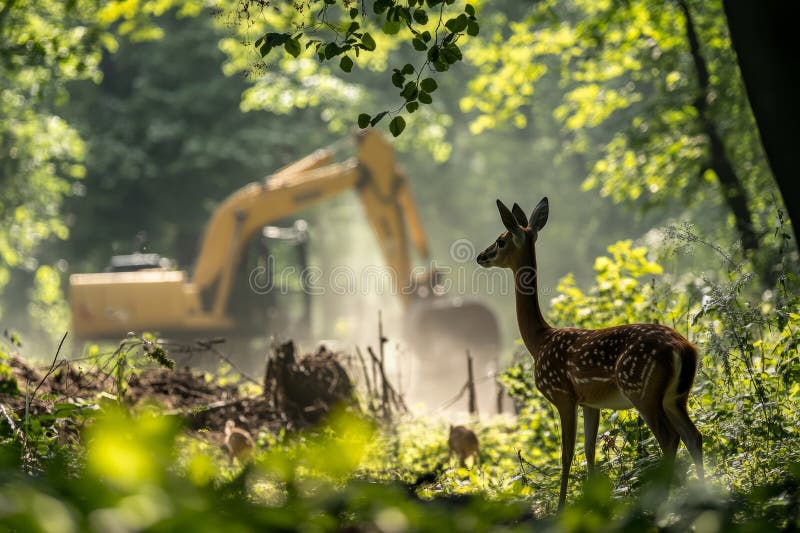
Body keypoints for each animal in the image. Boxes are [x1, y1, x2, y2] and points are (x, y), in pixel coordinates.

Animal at [476, 197, 703, 509]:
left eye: (500, 240)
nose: (480, 256)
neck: (539, 341)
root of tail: (684, 348)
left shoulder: (562, 394)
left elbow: (567, 454)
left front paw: (561, 508)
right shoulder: (590, 402)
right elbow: (589, 451)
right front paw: (592, 505)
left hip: (642, 389)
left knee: (670, 439)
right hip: (676, 396)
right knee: (694, 437)